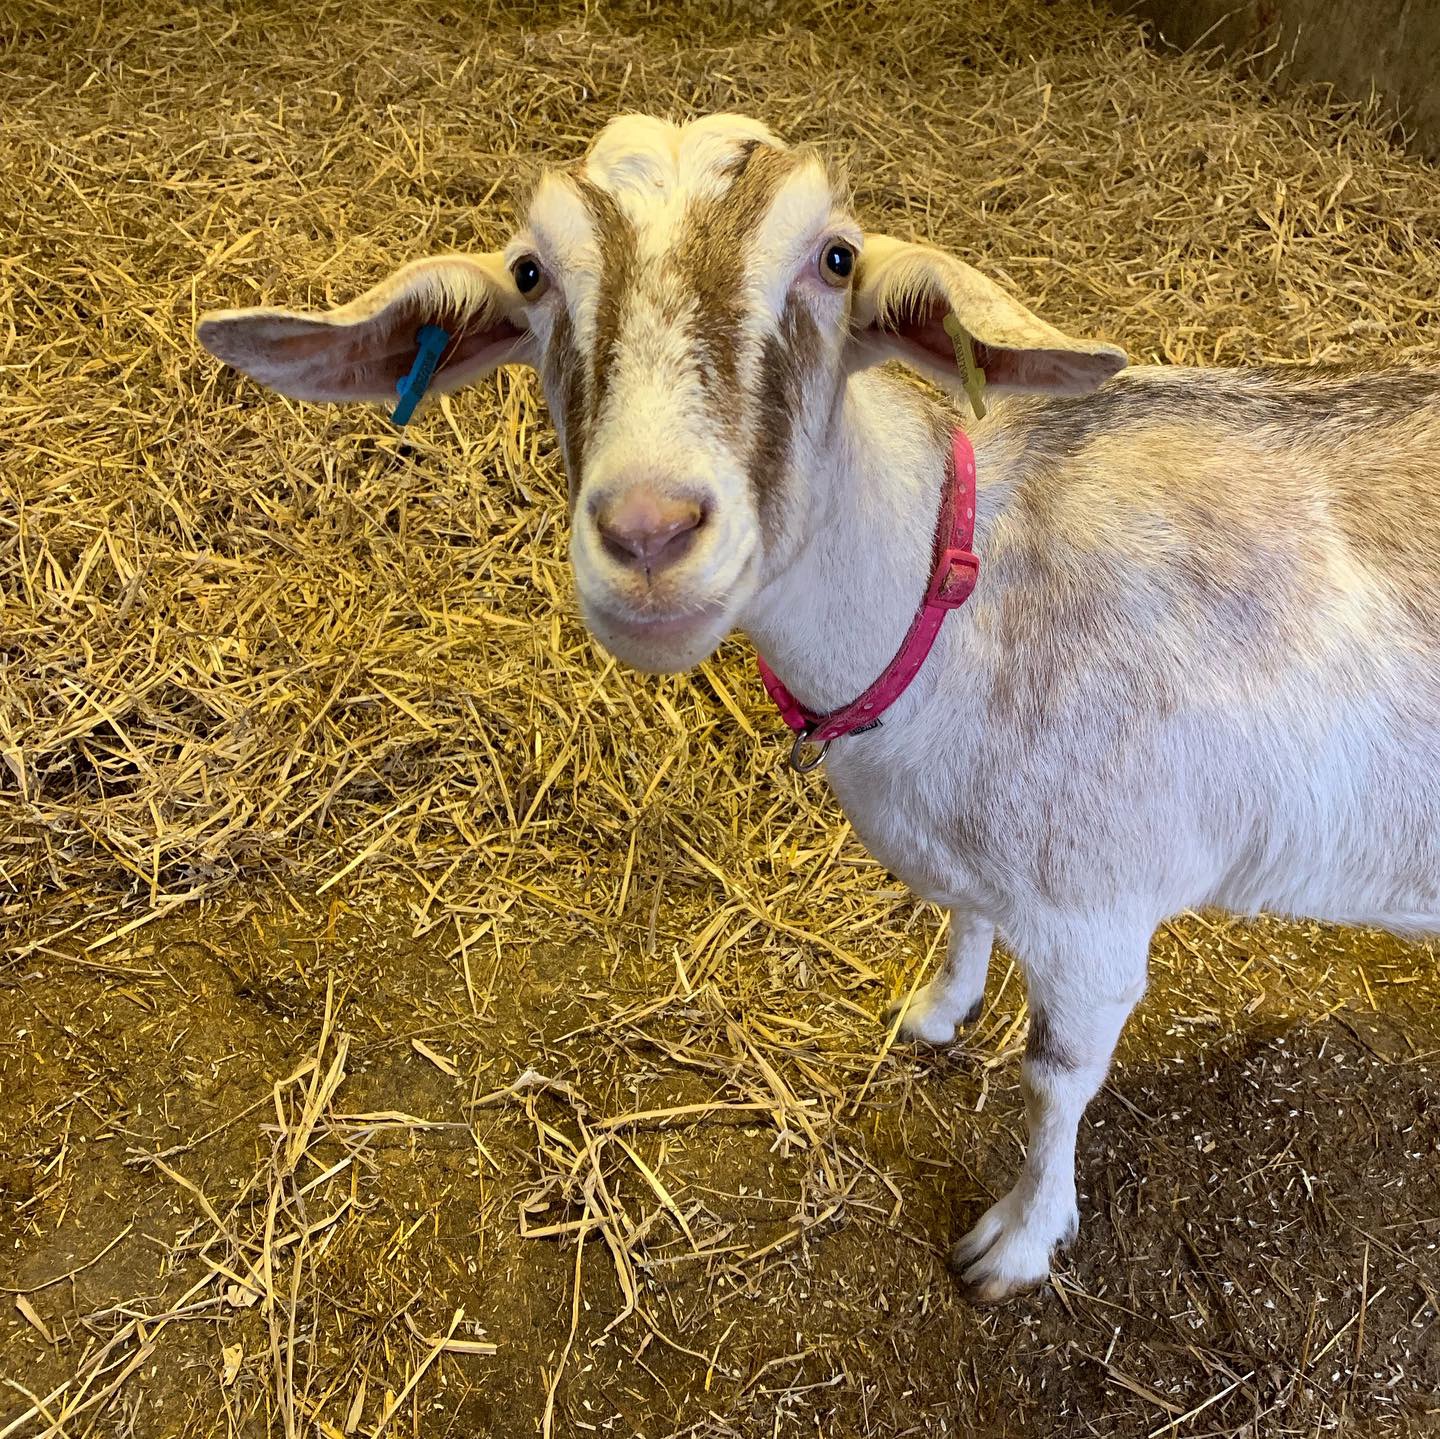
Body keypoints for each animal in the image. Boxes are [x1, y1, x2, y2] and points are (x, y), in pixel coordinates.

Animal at [198, 113, 1440, 1301]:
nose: (650, 530)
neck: (956, 589)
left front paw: (1018, 1239)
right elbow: (959, 911)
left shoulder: (1097, 908)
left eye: (835, 258)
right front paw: (936, 1006)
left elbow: (1057, 1075)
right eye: (532, 273)